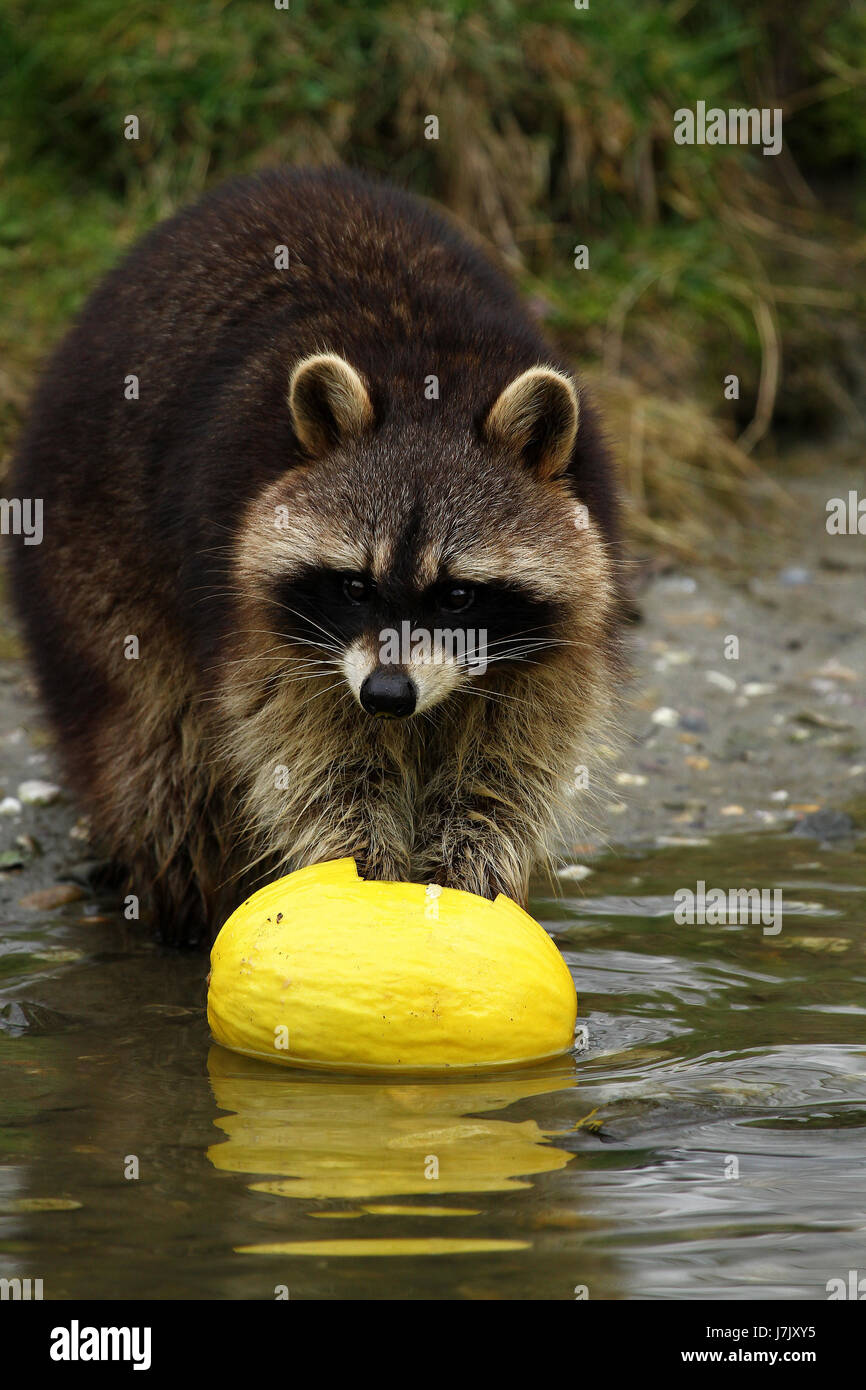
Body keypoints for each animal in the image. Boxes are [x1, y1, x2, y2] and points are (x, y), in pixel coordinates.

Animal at [9, 167, 623, 945]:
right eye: (355, 586)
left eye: (457, 594)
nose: (387, 696)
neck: (430, 383)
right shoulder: (254, 611)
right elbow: (306, 748)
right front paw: (360, 853)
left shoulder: (556, 633)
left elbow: (515, 753)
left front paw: (473, 857)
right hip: (89, 557)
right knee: (159, 760)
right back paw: (187, 908)